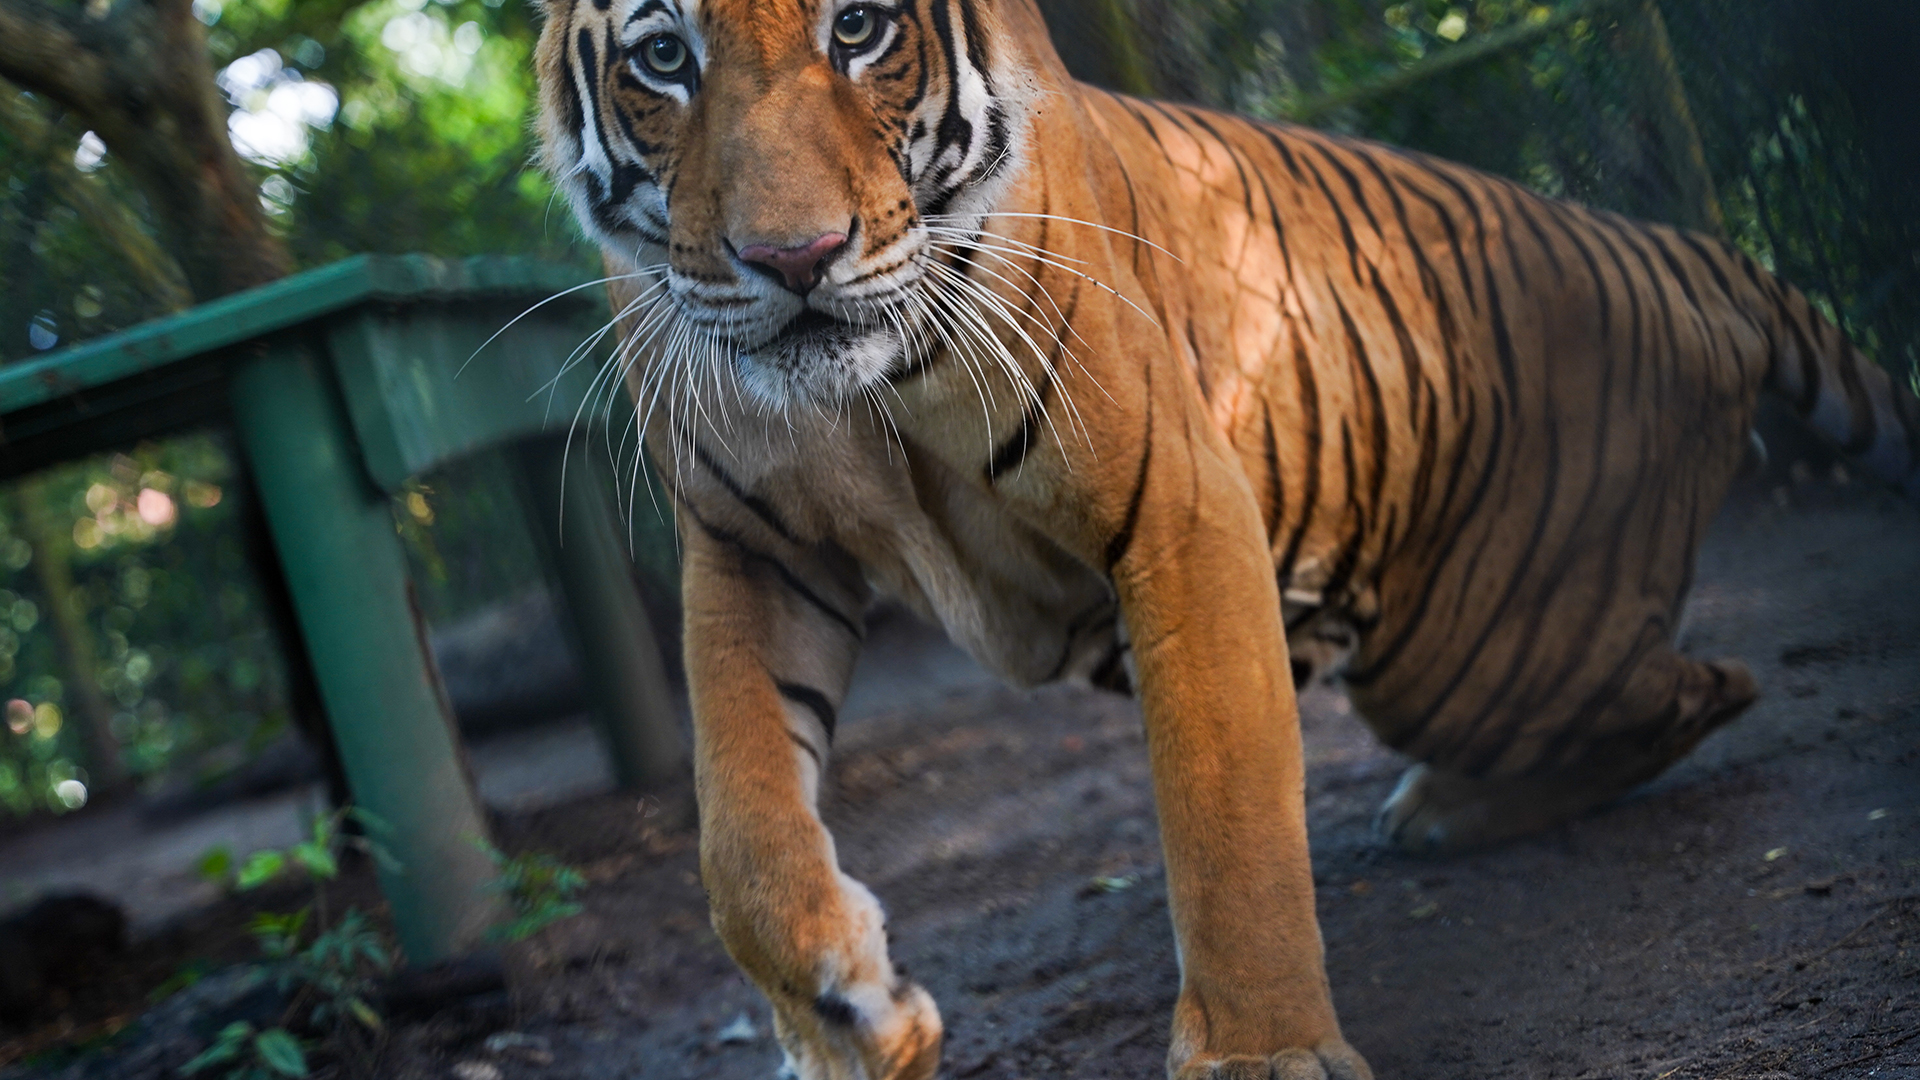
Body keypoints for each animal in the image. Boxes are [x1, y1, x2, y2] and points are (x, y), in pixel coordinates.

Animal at [531, 0, 1920, 1077]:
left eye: (859, 28)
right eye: (665, 57)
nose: (795, 259)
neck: (860, 403)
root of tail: (1677, 245)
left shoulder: (1180, 506)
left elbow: (1225, 810)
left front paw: (1263, 1052)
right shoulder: (750, 551)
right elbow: (740, 840)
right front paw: (850, 1022)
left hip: (1482, 655)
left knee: (1712, 686)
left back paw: (1446, 810)